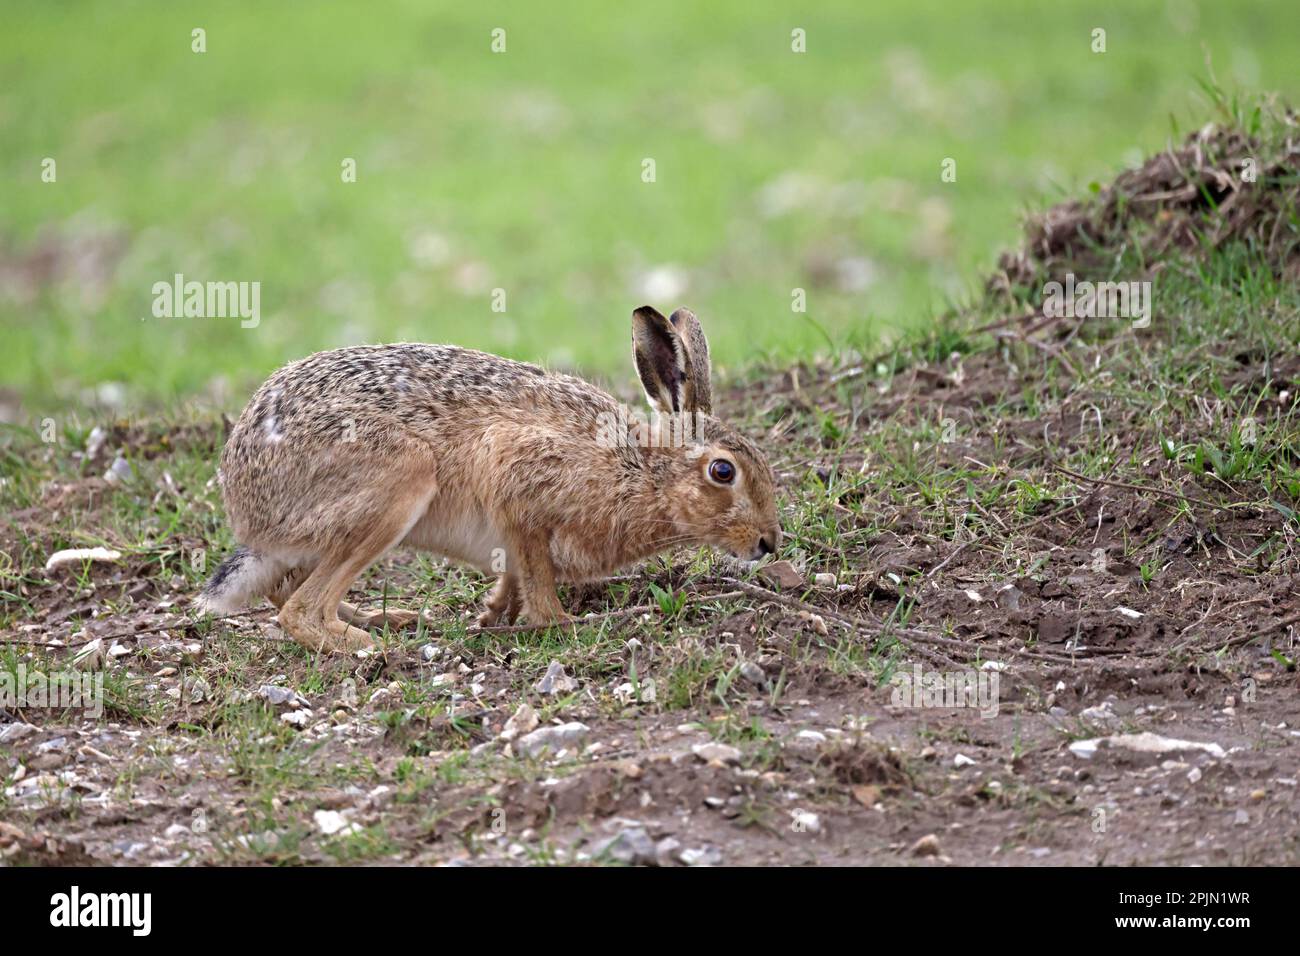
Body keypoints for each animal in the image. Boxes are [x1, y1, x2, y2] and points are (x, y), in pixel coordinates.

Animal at [196, 306, 782, 653]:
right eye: (723, 471)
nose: (769, 542)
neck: (643, 473)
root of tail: (244, 498)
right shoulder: (514, 476)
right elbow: (536, 576)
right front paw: (558, 623)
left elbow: (513, 577)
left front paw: (493, 615)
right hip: (397, 484)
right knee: (300, 612)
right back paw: (375, 647)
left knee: (286, 590)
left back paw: (389, 620)